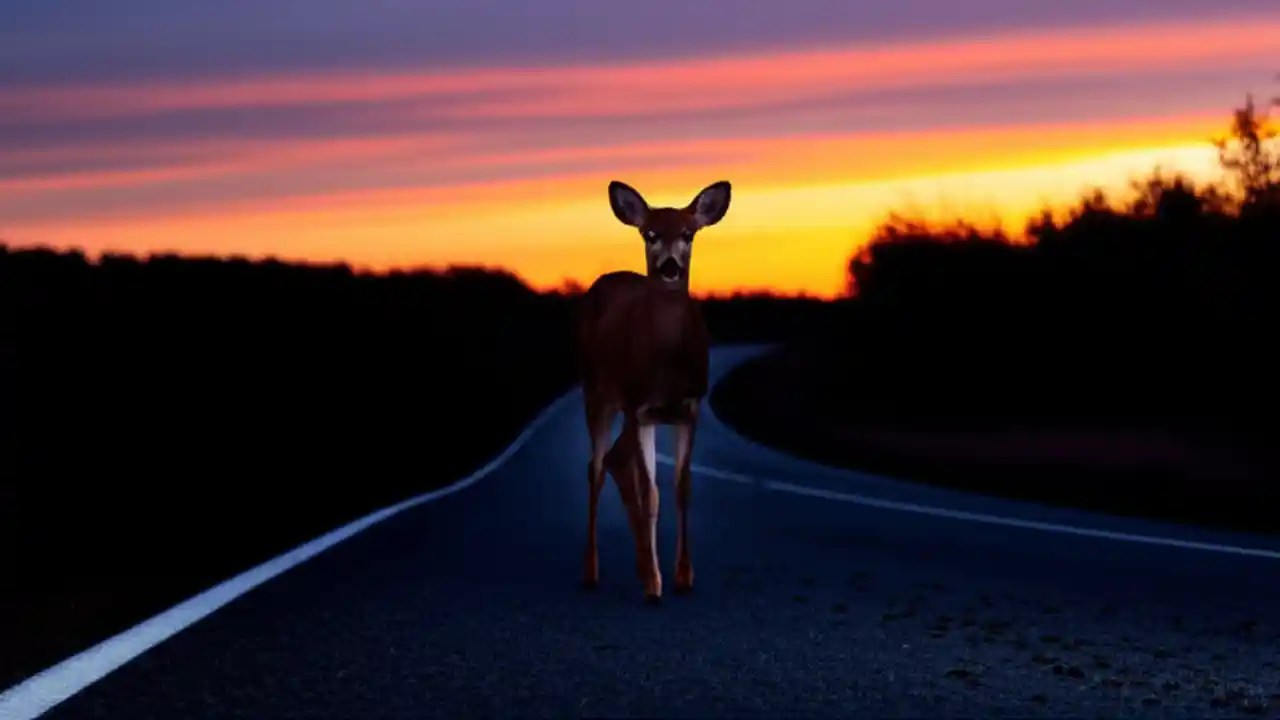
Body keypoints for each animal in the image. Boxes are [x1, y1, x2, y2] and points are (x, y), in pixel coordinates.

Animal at [576, 179, 732, 604]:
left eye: (689, 234)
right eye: (649, 234)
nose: (670, 268)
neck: (668, 365)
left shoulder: (690, 408)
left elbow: (681, 488)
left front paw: (682, 576)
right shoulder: (639, 408)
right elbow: (652, 492)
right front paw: (653, 582)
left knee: (615, 461)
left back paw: (639, 561)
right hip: (597, 392)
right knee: (597, 467)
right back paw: (593, 571)